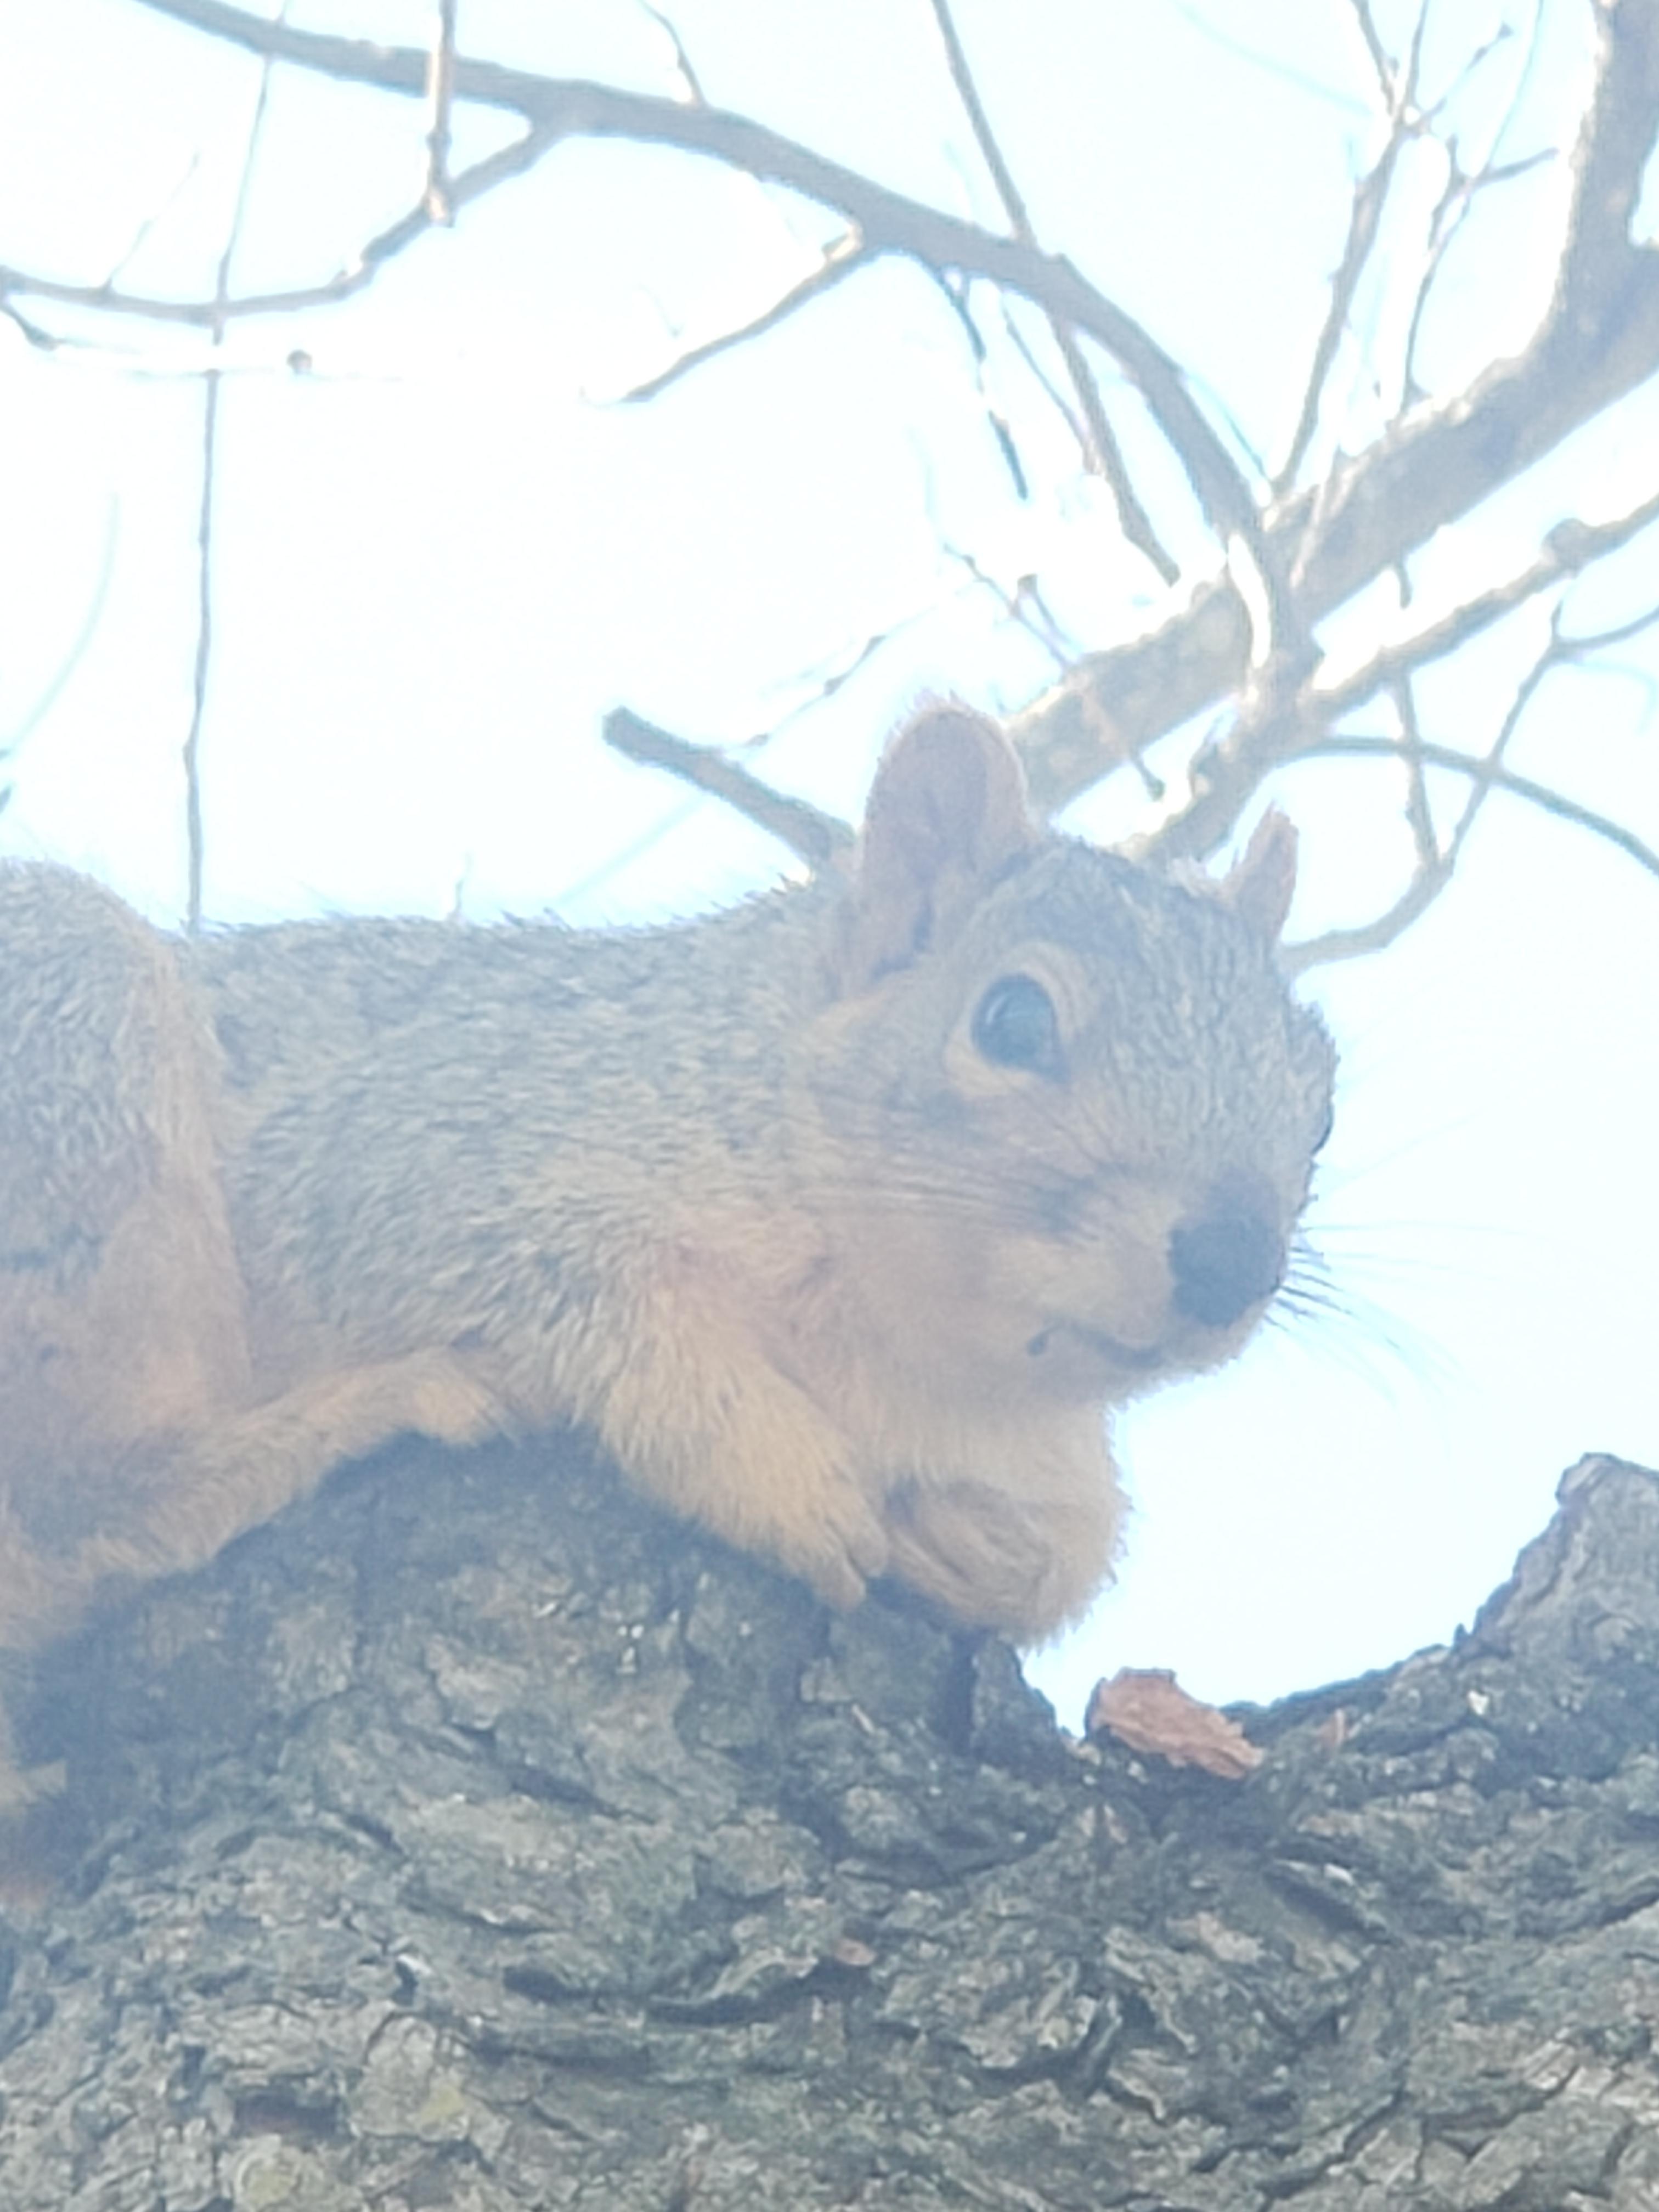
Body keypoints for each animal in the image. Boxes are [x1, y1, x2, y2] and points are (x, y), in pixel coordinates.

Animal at [0, 704, 1333, 1805]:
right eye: (1010, 1020)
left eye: (1319, 1096)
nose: (1231, 1258)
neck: (917, 1352)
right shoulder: (397, 1161)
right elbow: (583, 1287)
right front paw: (778, 1468)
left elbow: (1080, 1538)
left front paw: (994, 1553)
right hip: (74, 1024)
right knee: (83, 1509)